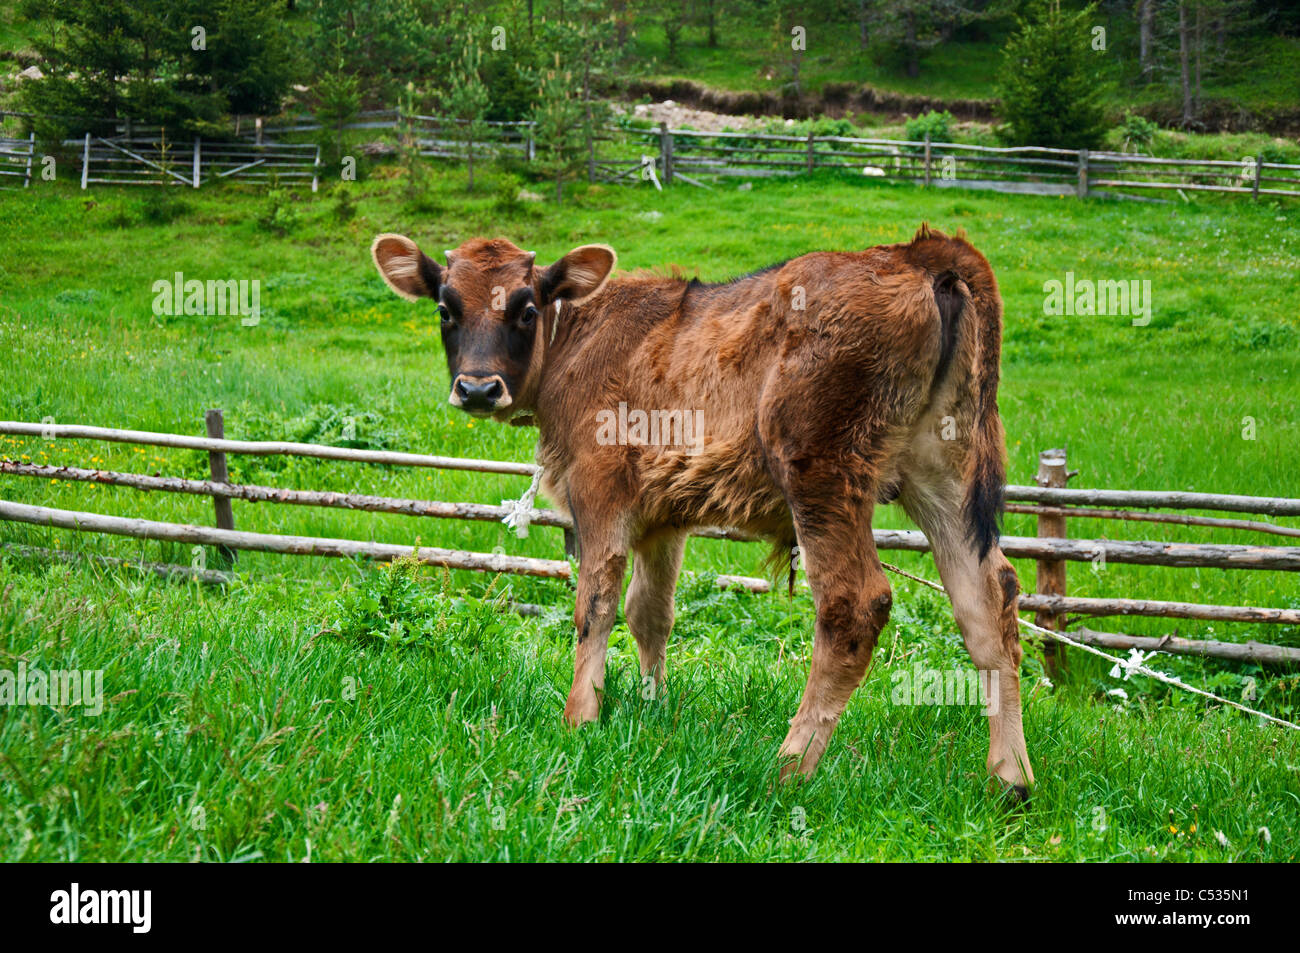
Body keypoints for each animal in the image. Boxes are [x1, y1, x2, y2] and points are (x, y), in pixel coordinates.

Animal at [371, 225, 1034, 796]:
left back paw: (788, 766)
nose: (478, 388)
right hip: (944, 474)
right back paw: (1011, 779)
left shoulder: (599, 489)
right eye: (445, 308)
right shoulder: (663, 517)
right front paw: (650, 706)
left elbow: (595, 604)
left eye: (527, 309)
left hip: (821, 471)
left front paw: (580, 716)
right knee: (988, 602)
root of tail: (917, 253)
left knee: (854, 605)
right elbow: (649, 613)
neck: (579, 339)